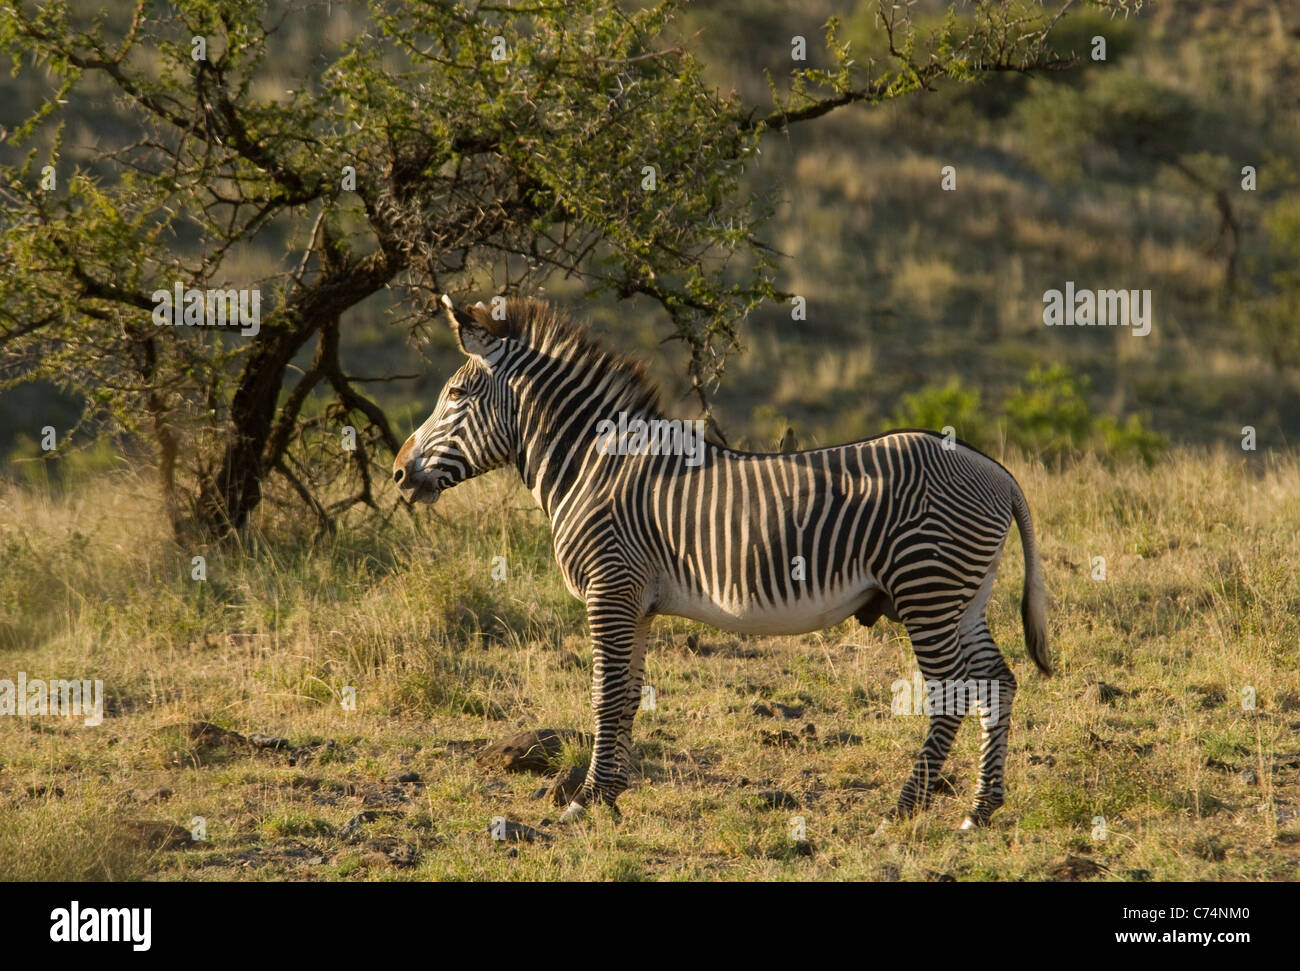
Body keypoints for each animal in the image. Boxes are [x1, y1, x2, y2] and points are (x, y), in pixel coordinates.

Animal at [394, 296, 1050, 830]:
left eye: (455, 395)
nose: (399, 473)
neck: (593, 464)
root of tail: (996, 471)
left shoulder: (610, 589)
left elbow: (604, 695)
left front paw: (584, 801)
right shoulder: (637, 604)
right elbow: (626, 696)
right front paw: (610, 796)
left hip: (927, 586)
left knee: (952, 692)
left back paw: (906, 807)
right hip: (964, 596)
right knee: (996, 682)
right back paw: (979, 810)